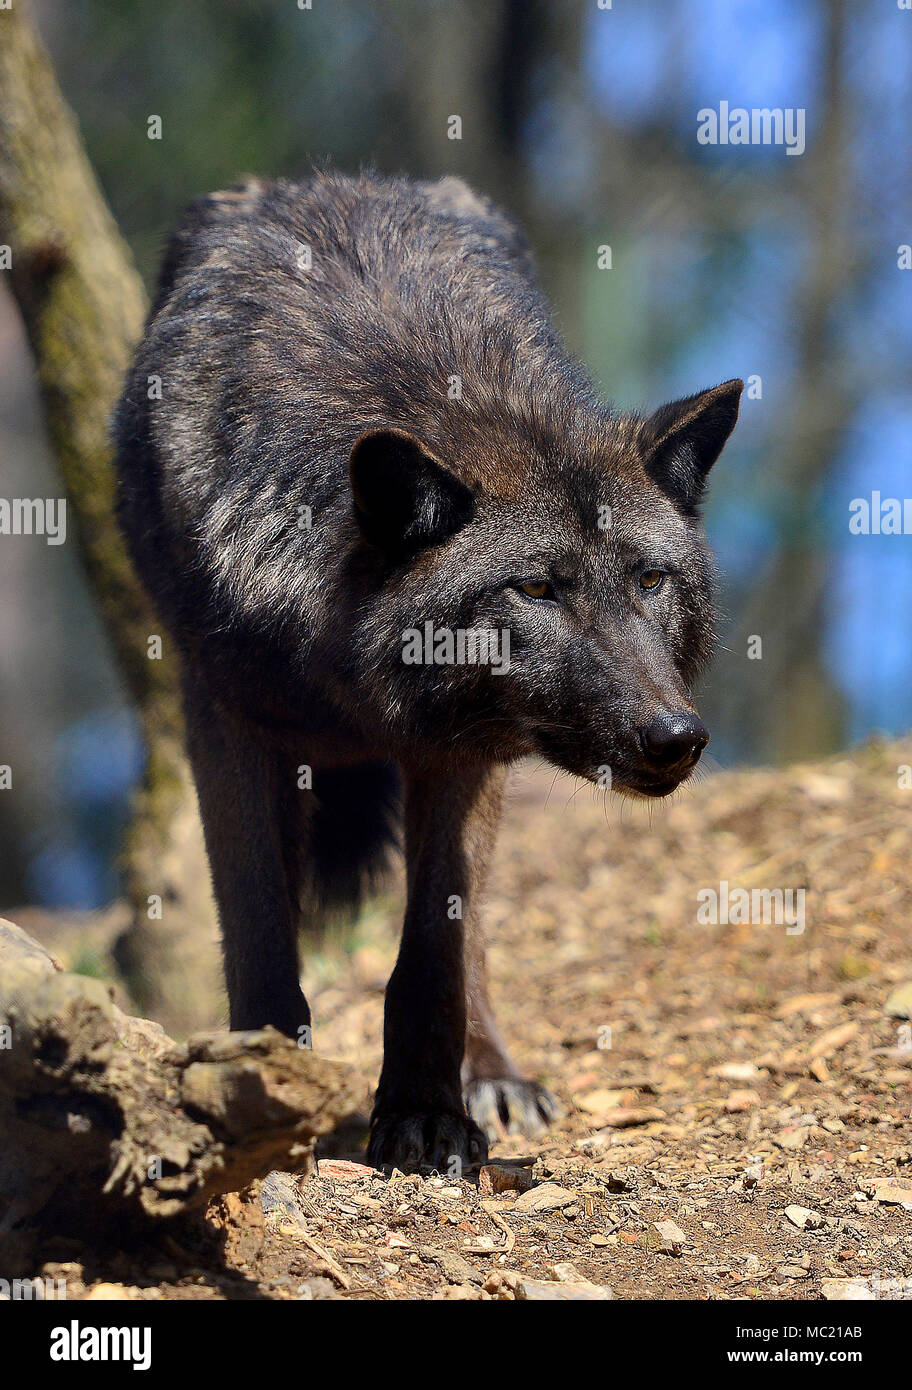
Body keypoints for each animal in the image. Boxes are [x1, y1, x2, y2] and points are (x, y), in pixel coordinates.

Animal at [115, 170, 742, 1171]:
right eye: (537, 588)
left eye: (650, 580)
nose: (675, 738)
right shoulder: (225, 723)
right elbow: (259, 929)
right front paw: (257, 1092)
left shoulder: (459, 754)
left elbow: (434, 959)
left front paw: (426, 1113)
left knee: (468, 934)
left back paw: (490, 1075)